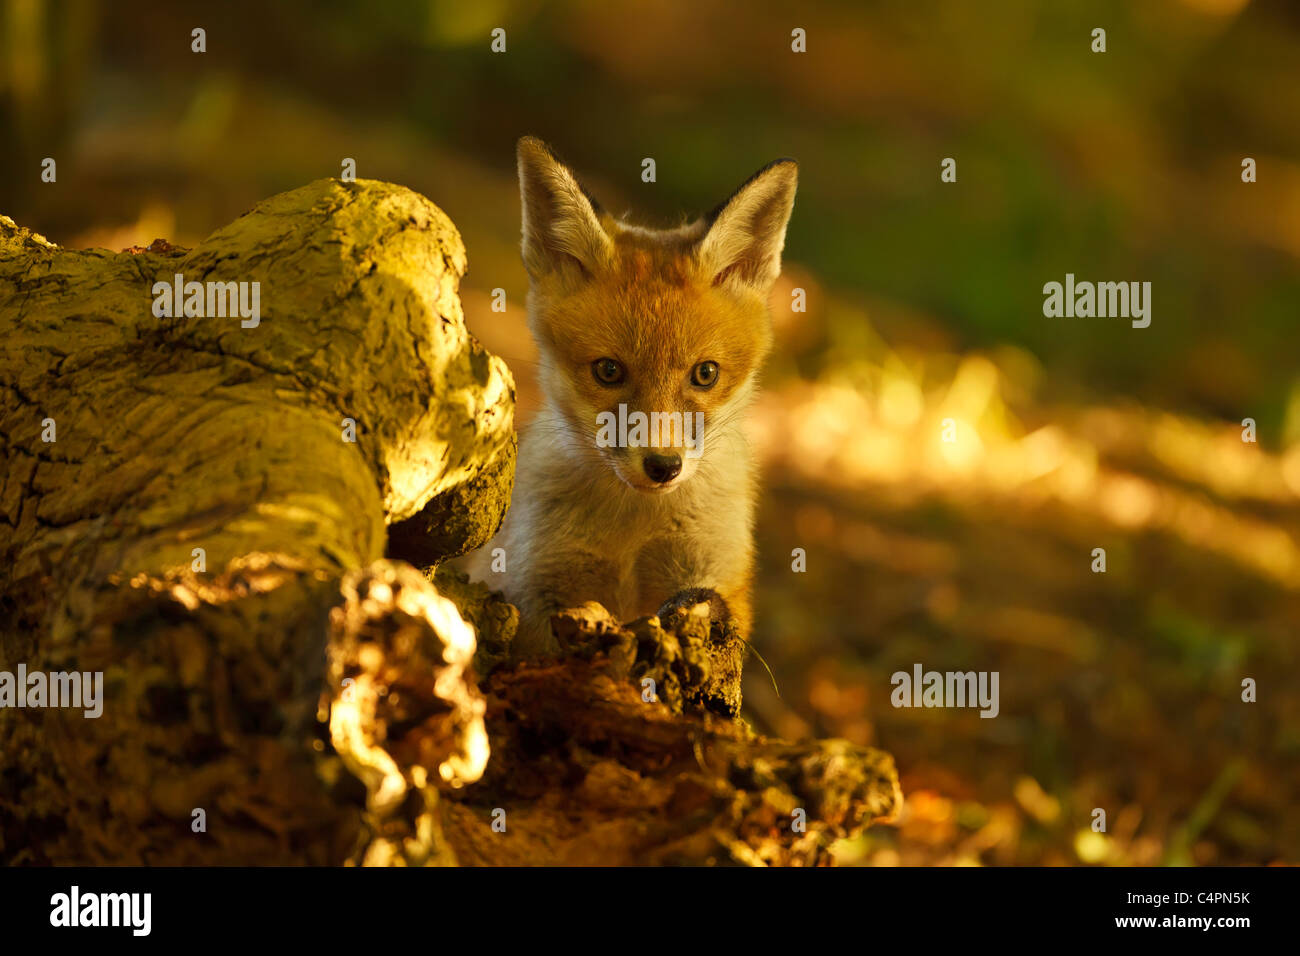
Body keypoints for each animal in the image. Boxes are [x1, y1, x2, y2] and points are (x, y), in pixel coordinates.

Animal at [463, 136, 797, 657]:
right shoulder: (534, 588)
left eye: (705, 374)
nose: (662, 467)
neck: (635, 531)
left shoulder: (712, 573)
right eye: (608, 370)